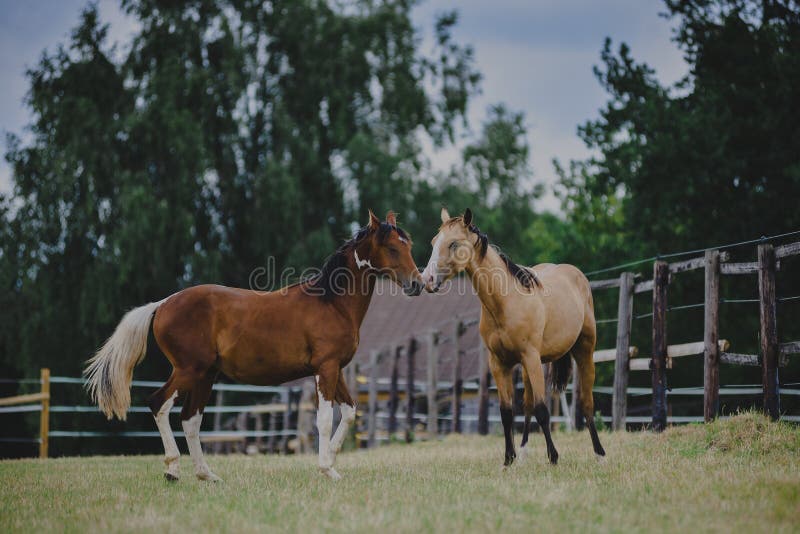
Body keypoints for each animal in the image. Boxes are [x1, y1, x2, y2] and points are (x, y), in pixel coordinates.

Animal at [85, 210, 423, 481]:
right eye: (391, 247)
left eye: (408, 245)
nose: (418, 284)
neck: (332, 303)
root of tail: (163, 304)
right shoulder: (325, 368)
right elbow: (325, 420)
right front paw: (327, 470)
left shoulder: (335, 369)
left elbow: (351, 413)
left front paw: (331, 463)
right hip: (188, 370)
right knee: (159, 404)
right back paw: (172, 470)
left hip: (205, 375)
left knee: (190, 419)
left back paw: (206, 475)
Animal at [420, 207, 605, 467]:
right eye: (434, 242)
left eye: (453, 243)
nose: (426, 280)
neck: (506, 302)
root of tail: (576, 274)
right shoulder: (500, 364)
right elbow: (507, 412)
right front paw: (508, 460)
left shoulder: (530, 357)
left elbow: (542, 410)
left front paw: (553, 457)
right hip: (530, 368)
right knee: (526, 406)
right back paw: (525, 453)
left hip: (582, 351)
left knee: (586, 403)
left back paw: (599, 454)